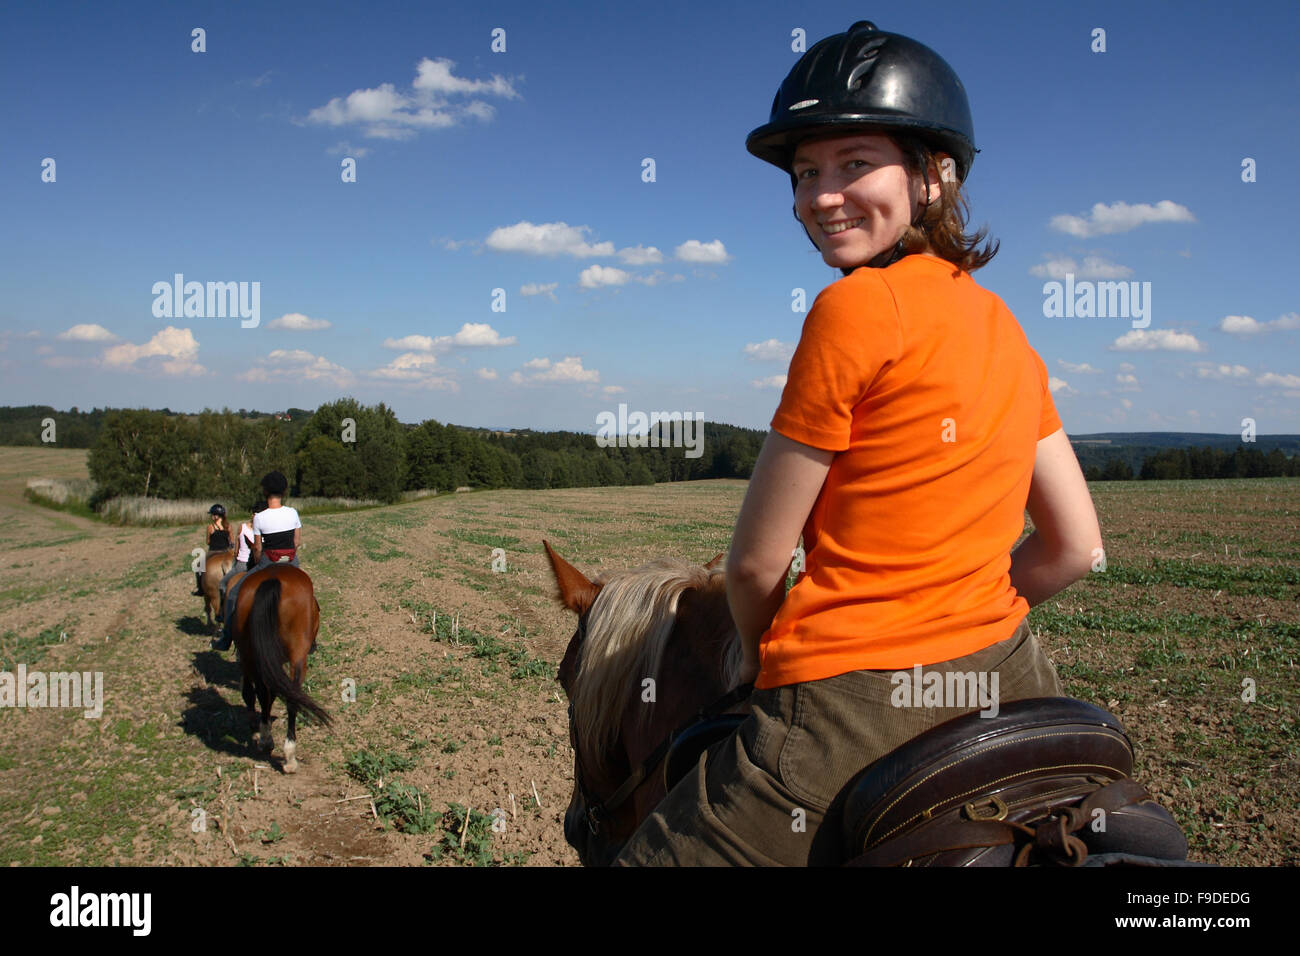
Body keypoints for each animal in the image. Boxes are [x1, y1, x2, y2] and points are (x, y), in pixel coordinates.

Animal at [224, 563, 332, 773]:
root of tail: (272, 580)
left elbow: (256, 693)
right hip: (296, 656)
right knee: (291, 695)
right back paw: (289, 754)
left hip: (254, 656)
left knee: (261, 692)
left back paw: (269, 741)